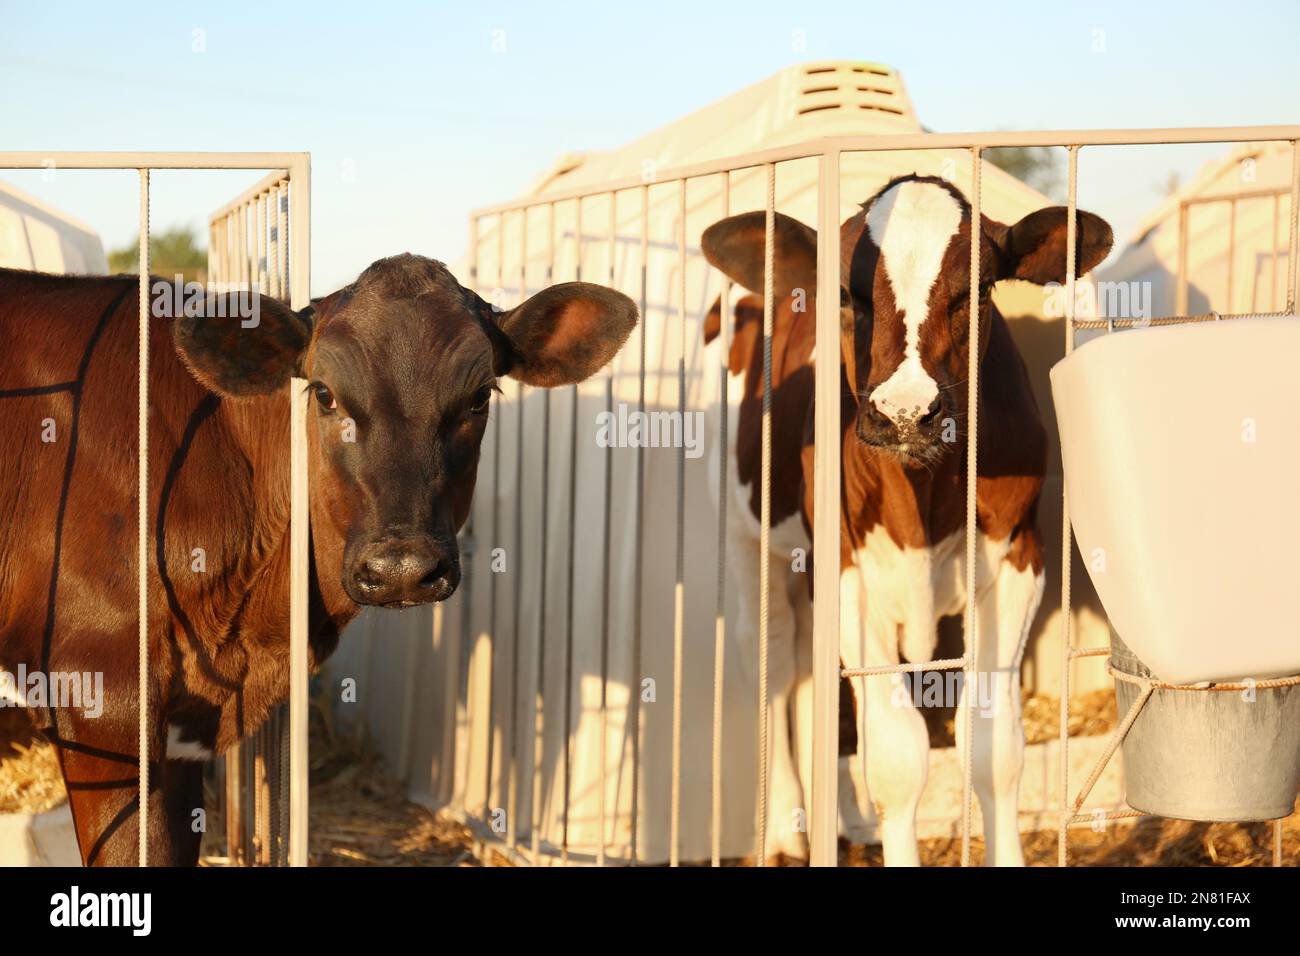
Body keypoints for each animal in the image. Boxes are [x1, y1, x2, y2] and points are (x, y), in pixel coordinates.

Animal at [702, 174, 1112, 865]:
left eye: (977, 289)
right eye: (845, 294)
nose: (905, 414)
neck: (925, 492)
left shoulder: (1019, 557)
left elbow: (994, 745)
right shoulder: (848, 571)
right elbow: (896, 757)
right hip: (743, 535)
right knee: (774, 664)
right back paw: (785, 830)